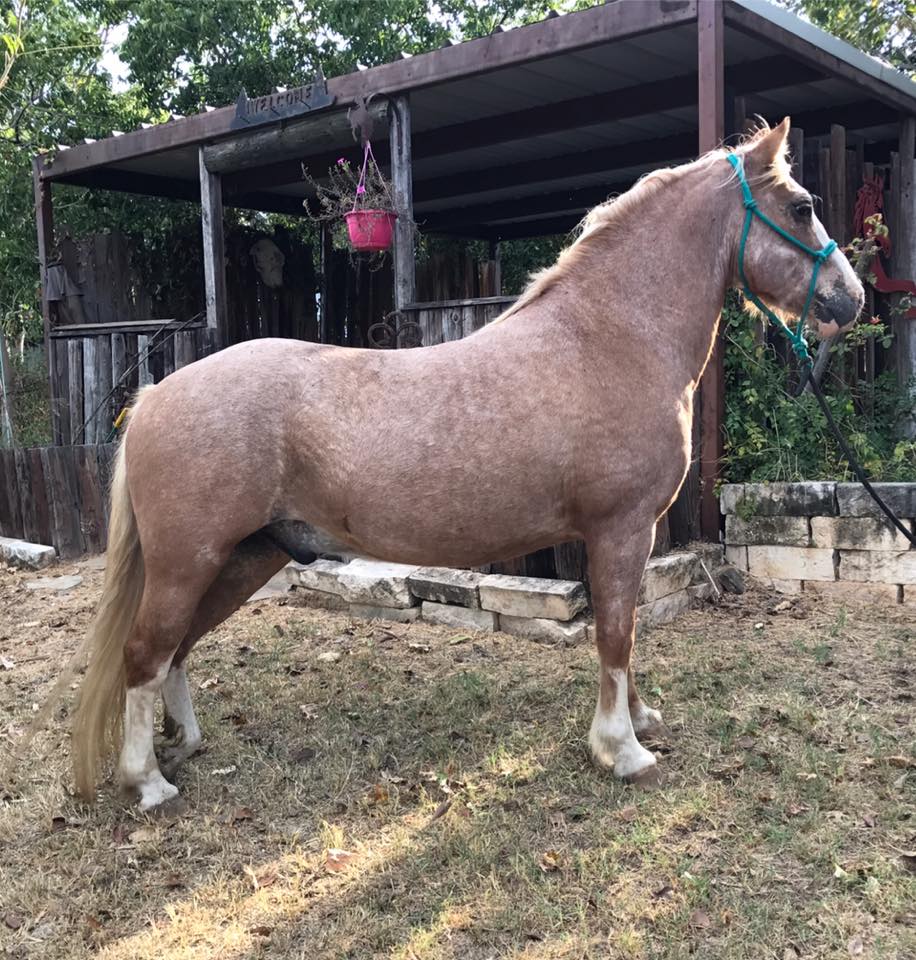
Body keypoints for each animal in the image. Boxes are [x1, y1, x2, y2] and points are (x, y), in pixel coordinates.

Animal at [69, 118, 863, 810]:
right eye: (802, 206)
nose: (850, 299)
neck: (609, 337)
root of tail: (154, 396)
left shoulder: (628, 539)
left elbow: (627, 627)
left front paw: (642, 719)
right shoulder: (620, 529)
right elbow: (614, 633)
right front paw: (622, 750)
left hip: (245, 556)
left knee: (174, 651)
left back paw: (186, 743)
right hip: (190, 560)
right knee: (145, 653)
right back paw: (147, 784)